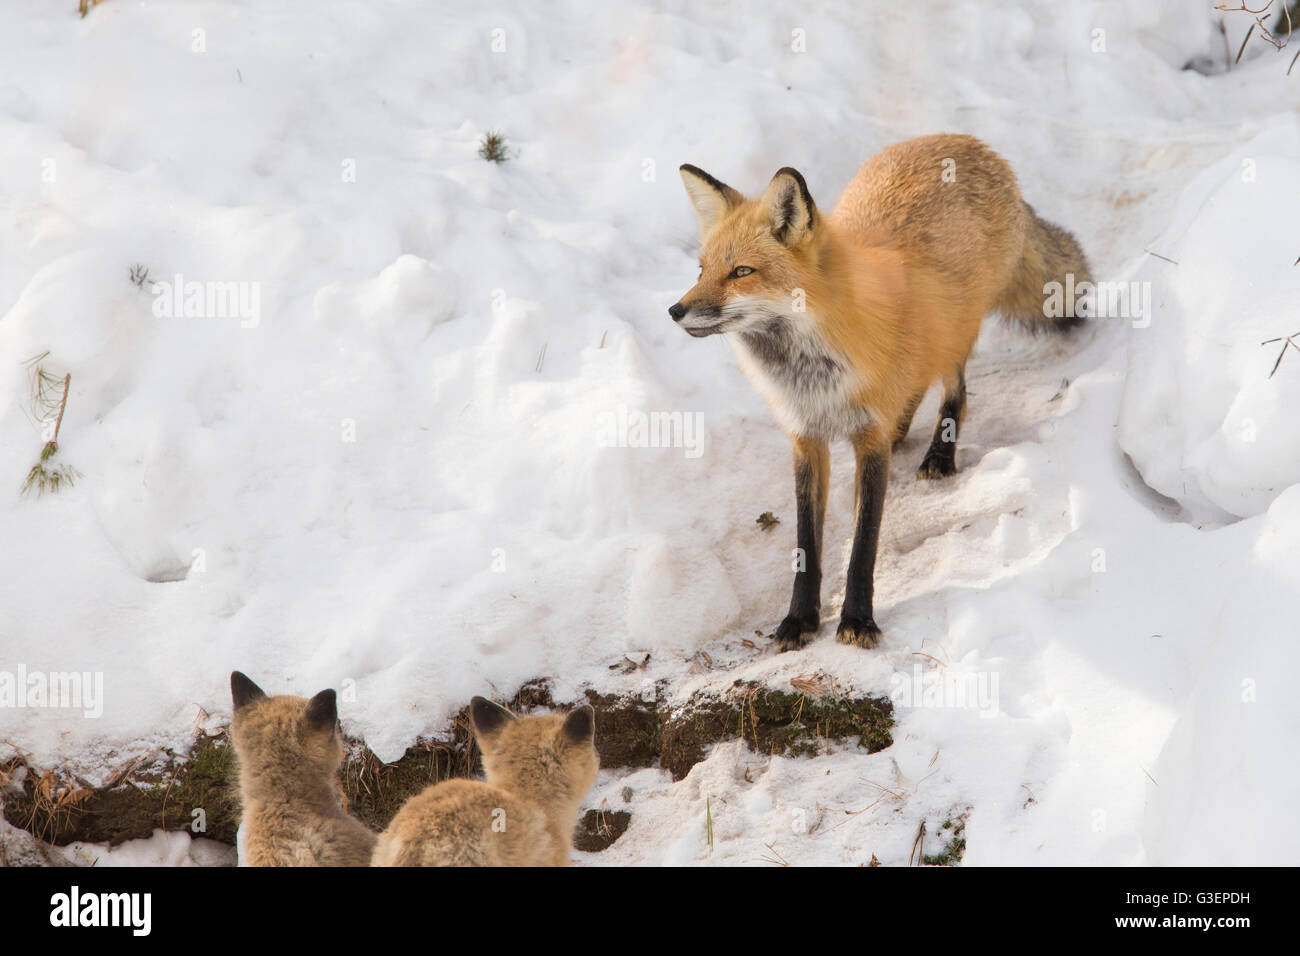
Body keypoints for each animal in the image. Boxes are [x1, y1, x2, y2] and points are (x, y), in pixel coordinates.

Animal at [670, 133, 1090, 652]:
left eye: (742, 272)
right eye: (701, 269)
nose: (675, 310)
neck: (815, 375)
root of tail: (971, 142)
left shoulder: (867, 438)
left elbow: (863, 544)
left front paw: (857, 619)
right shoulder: (806, 438)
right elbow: (806, 544)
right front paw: (799, 619)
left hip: (955, 331)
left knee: (956, 390)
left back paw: (940, 455)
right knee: (919, 384)